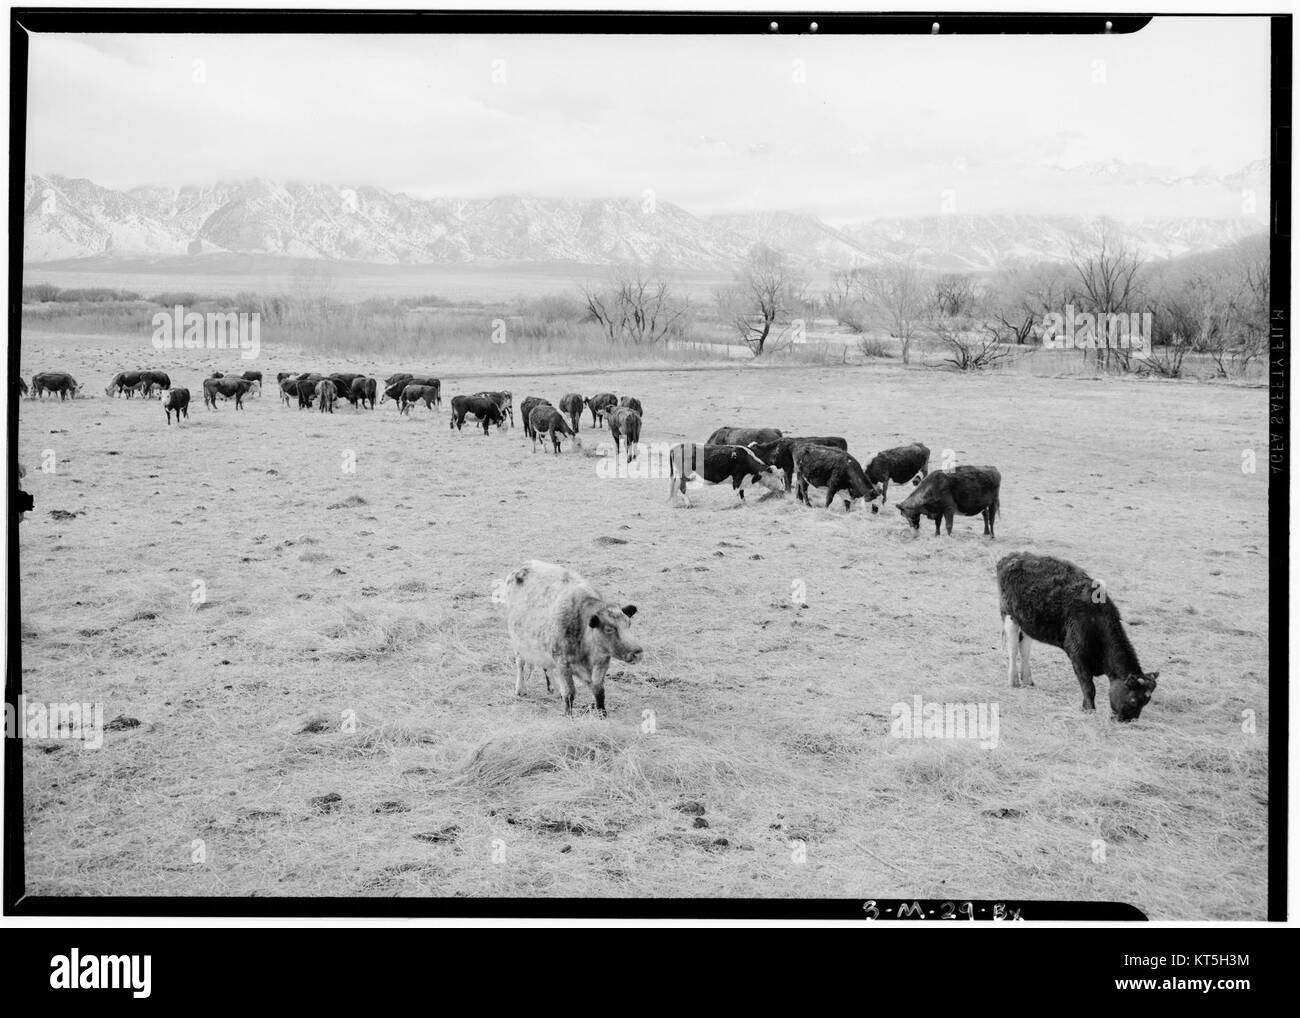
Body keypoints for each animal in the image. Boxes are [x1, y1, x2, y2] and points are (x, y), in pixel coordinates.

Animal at [501, 559, 642, 715]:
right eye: (609, 629)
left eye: (629, 623)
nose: (637, 652)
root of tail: (524, 566)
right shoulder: (563, 664)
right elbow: (570, 693)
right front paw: (568, 714)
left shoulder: (602, 662)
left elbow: (599, 690)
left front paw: (602, 714)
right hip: (518, 642)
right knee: (520, 663)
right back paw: (520, 688)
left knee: (547, 667)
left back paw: (554, 689)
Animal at [997, 552, 1158, 722]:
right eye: (1133, 700)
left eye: (1146, 702)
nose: (1128, 721)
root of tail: (1014, 556)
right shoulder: (1077, 655)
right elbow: (1088, 686)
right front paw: (1089, 709)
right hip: (1009, 616)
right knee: (1013, 648)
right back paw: (1014, 681)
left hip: (1027, 622)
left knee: (1025, 649)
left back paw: (1027, 680)